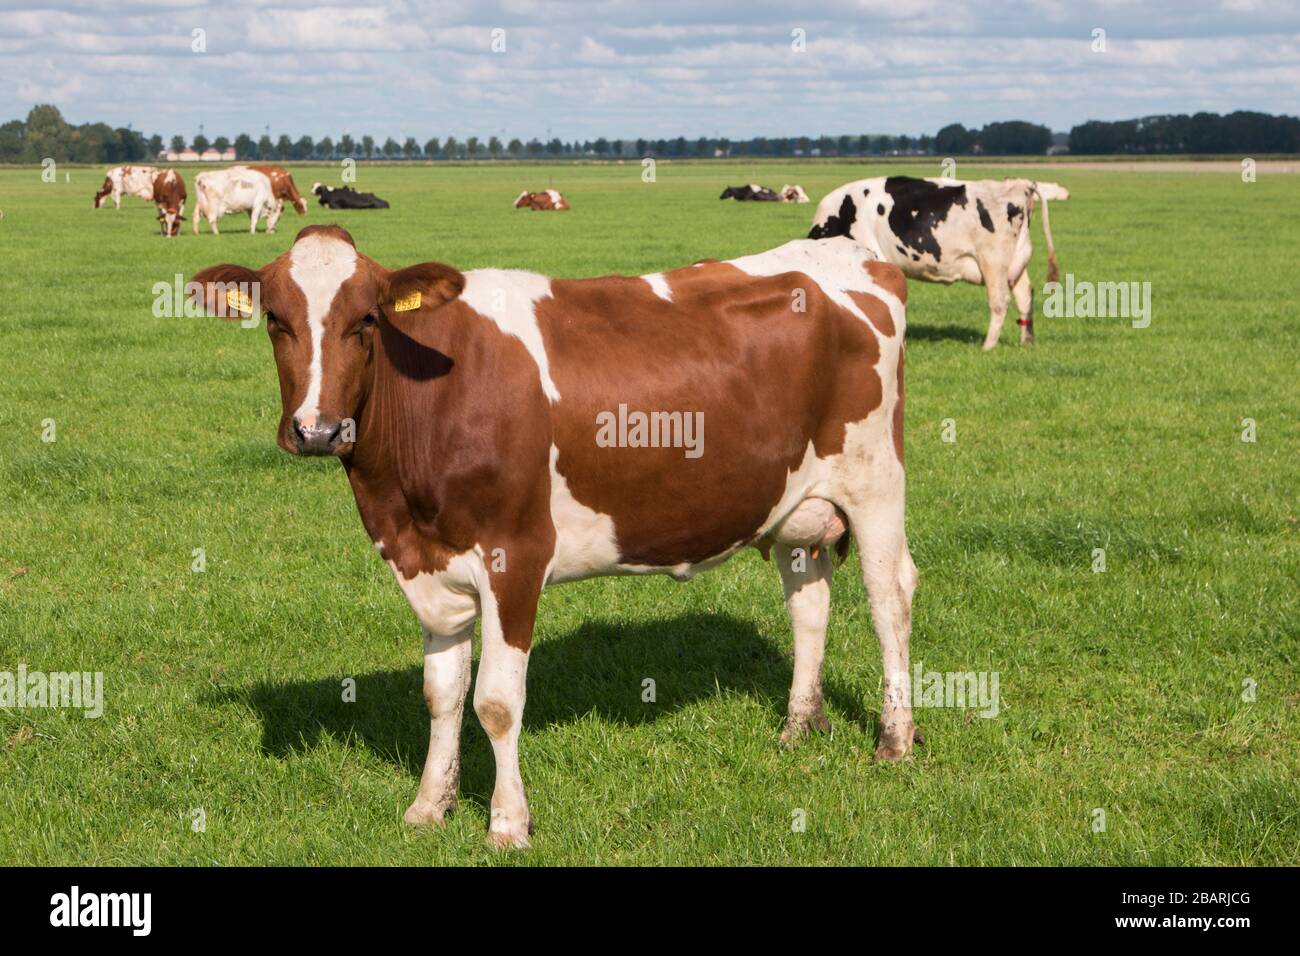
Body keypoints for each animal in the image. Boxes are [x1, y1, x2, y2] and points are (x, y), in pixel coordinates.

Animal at [189, 224, 918, 849]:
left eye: (366, 319)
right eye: (275, 320)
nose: (316, 430)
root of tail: (851, 256)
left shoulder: (514, 556)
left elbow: (496, 701)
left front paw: (508, 824)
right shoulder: (426, 561)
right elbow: (441, 693)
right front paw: (429, 806)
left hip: (876, 480)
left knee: (890, 600)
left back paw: (895, 740)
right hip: (796, 505)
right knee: (809, 599)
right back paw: (799, 725)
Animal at [809, 176, 1068, 349]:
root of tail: (1020, 184)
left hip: (993, 261)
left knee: (1000, 301)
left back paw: (988, 346)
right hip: (1017, 261)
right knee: (1025, 295)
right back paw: (1027, 341)